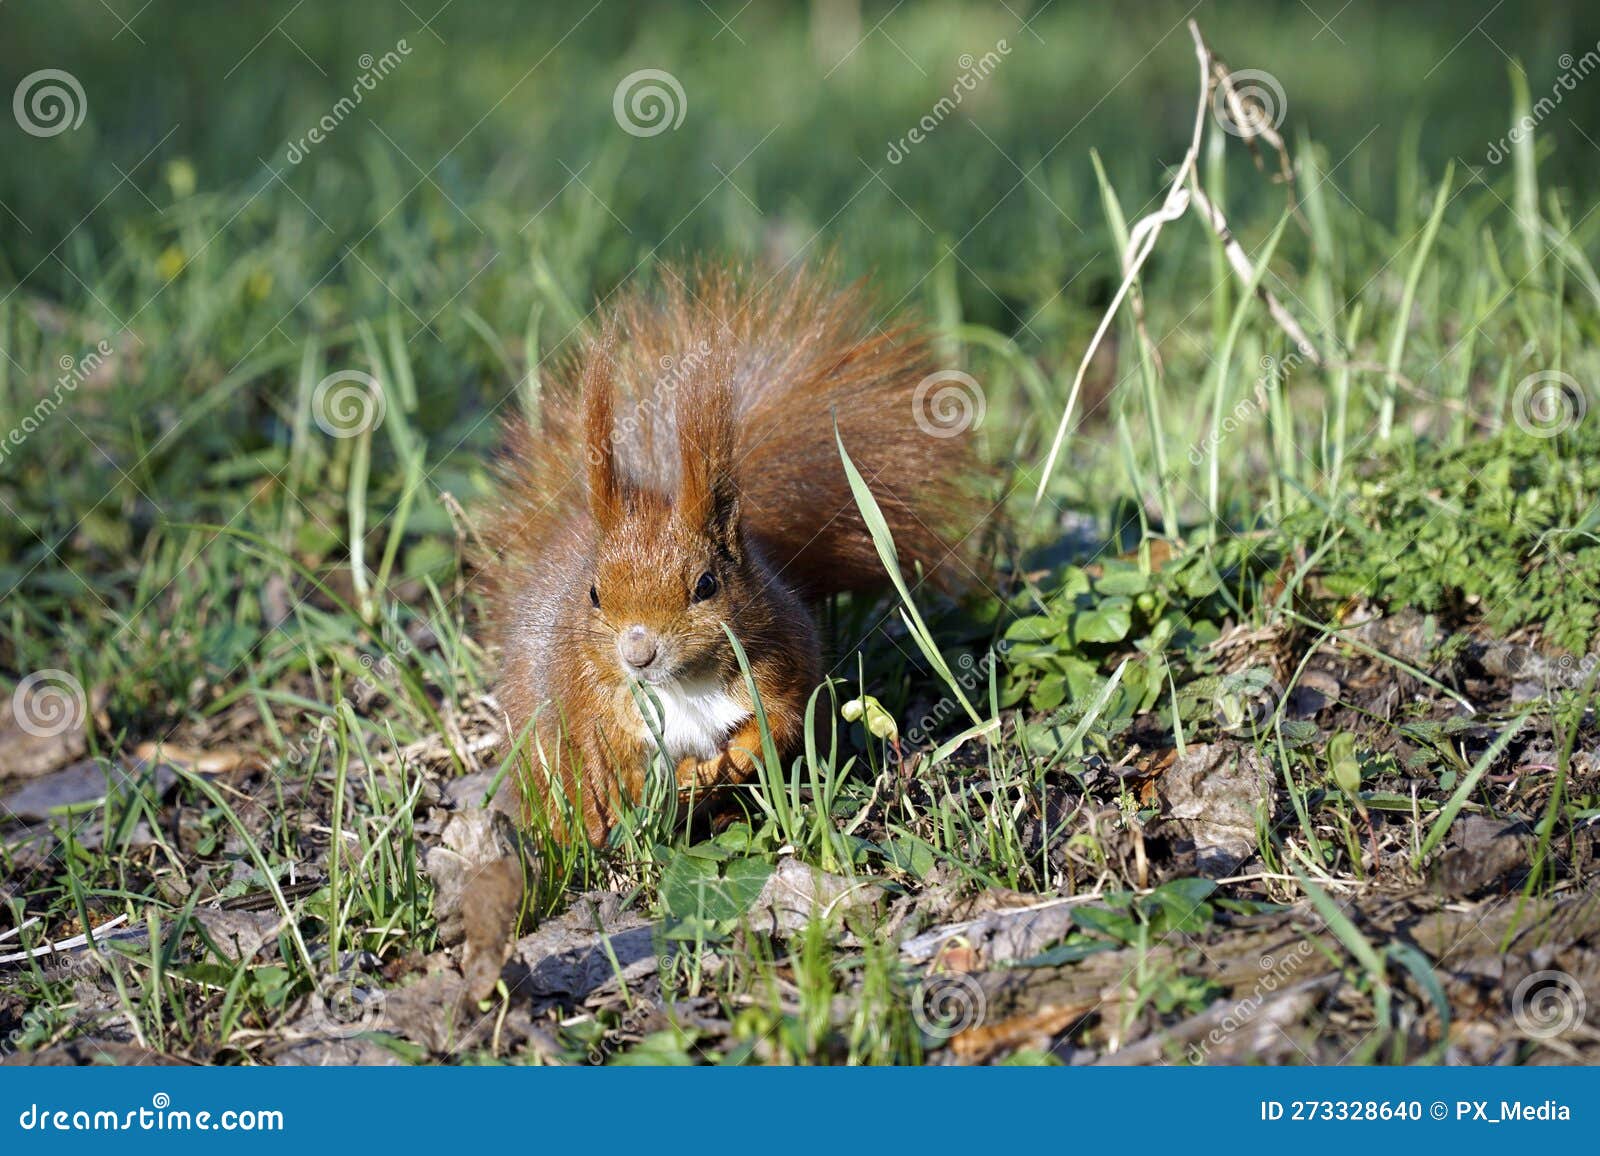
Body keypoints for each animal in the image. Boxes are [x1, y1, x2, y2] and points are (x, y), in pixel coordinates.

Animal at [482, 264, 980, 844]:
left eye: (706, 585)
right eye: (594, 594)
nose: (637, 654)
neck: (682, 686)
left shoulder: (780, 662)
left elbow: (782, 722)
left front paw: (734, 762)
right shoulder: (594, 708)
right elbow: (619, 770)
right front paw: (680, 780)